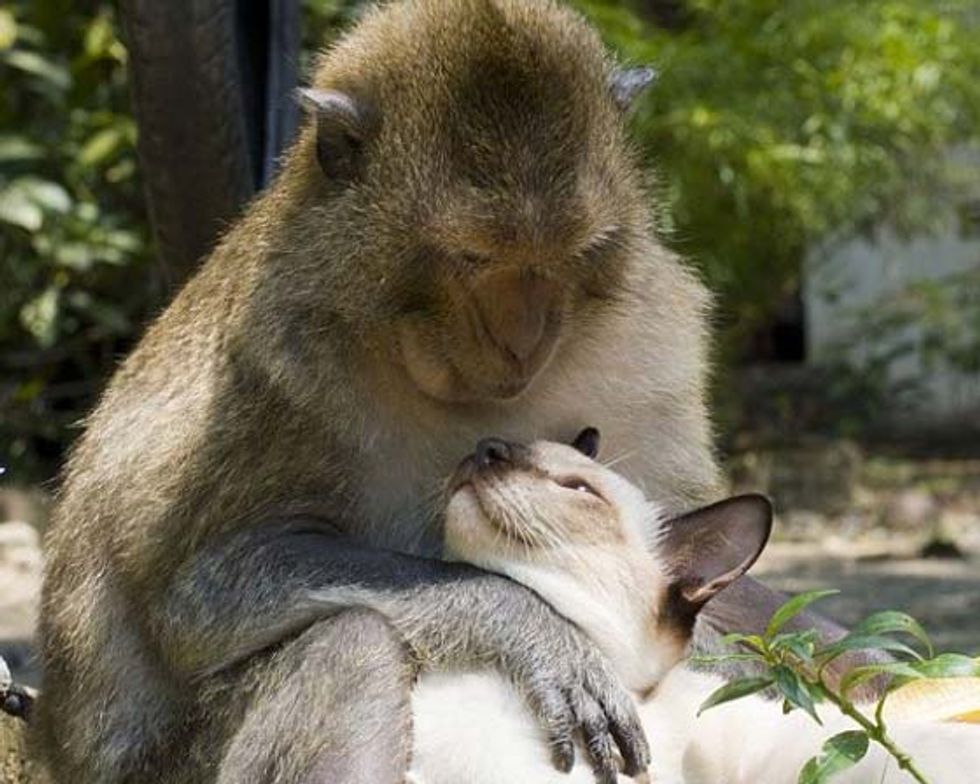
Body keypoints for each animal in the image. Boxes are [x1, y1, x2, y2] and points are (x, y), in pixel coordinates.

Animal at [34, 1, 846, 783]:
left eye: (572, 252)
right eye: (473, 256)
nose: (524, 337)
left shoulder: (656, 328)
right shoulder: (276, 367)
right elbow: (198, 598)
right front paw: (528, 626)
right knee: (351, 640)